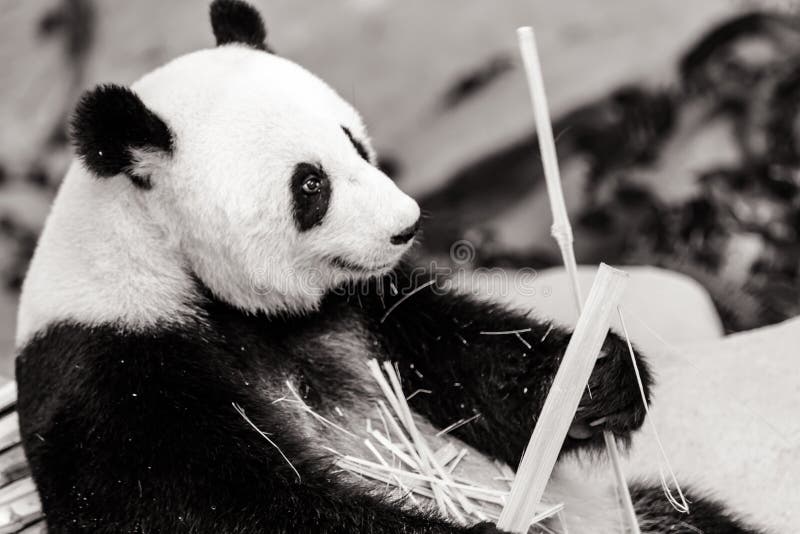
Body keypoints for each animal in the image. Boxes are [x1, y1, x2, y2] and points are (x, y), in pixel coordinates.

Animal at [13, 1, 763, 533]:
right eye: (309, 184)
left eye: (355, 141)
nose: (406, 224)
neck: (168, 264)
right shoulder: (116, 375)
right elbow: (220, 507)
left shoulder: (361, 306)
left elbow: (460, 357)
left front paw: (596, 379)